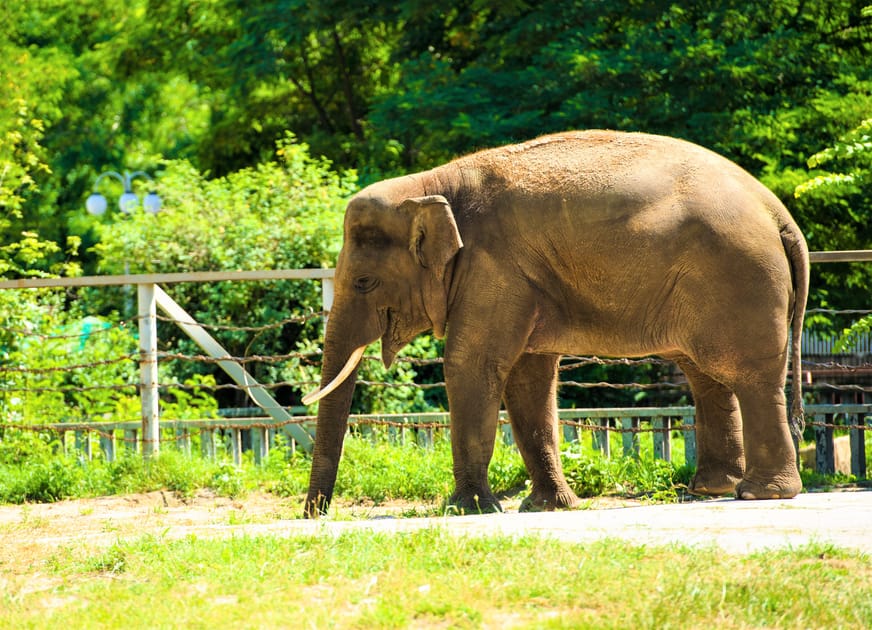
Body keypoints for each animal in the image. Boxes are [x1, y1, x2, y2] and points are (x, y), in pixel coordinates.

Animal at [301, 130, 809, 517]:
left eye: (364, 282)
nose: (316, 514)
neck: (432, 182)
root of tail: (778, 213)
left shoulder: (494, 267)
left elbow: (471, 365)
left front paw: (467, 510)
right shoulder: (517, 278)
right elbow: (527, 378)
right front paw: (547, 507)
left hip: (739, 278)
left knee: (749, 376)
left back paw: (759, 494)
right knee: (706, 376)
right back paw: (709, 489)